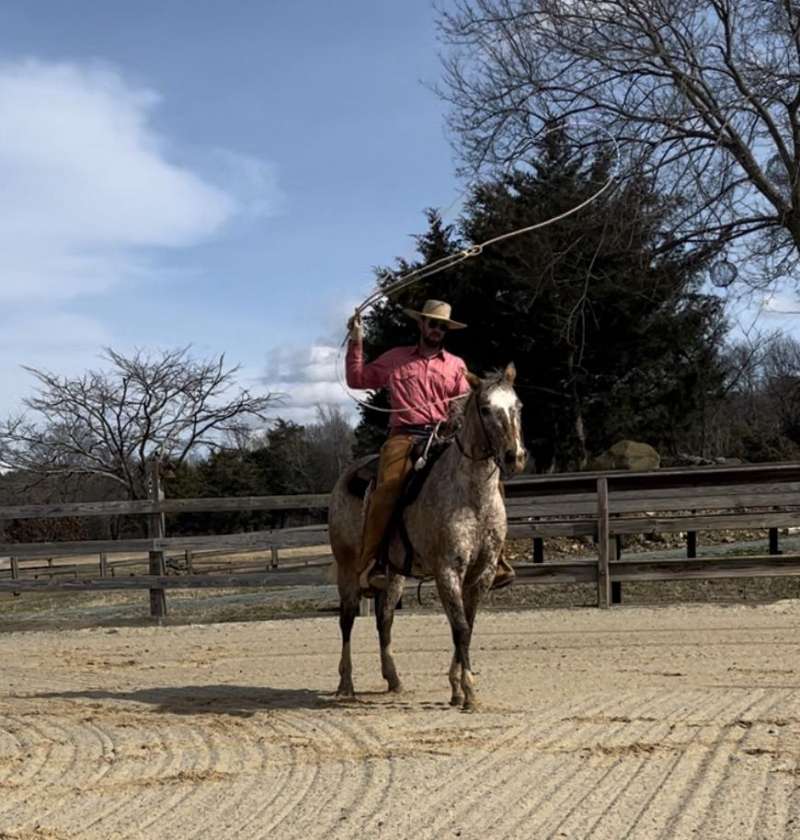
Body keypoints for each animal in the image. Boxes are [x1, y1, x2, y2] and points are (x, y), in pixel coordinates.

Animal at [328, 363, 527, 710]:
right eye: (486, 409)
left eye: (517, 406)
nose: (513, 457)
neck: (472, 497)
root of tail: (347, 476)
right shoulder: (447, 570)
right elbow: (460, 627)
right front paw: (469, 692)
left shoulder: (483, 573)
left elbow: (467, 626)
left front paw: (457, 687)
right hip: (347, 568)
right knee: (347, 619)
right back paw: (346, 684)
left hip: (392, 575)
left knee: (384, 619)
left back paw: (393, 679)